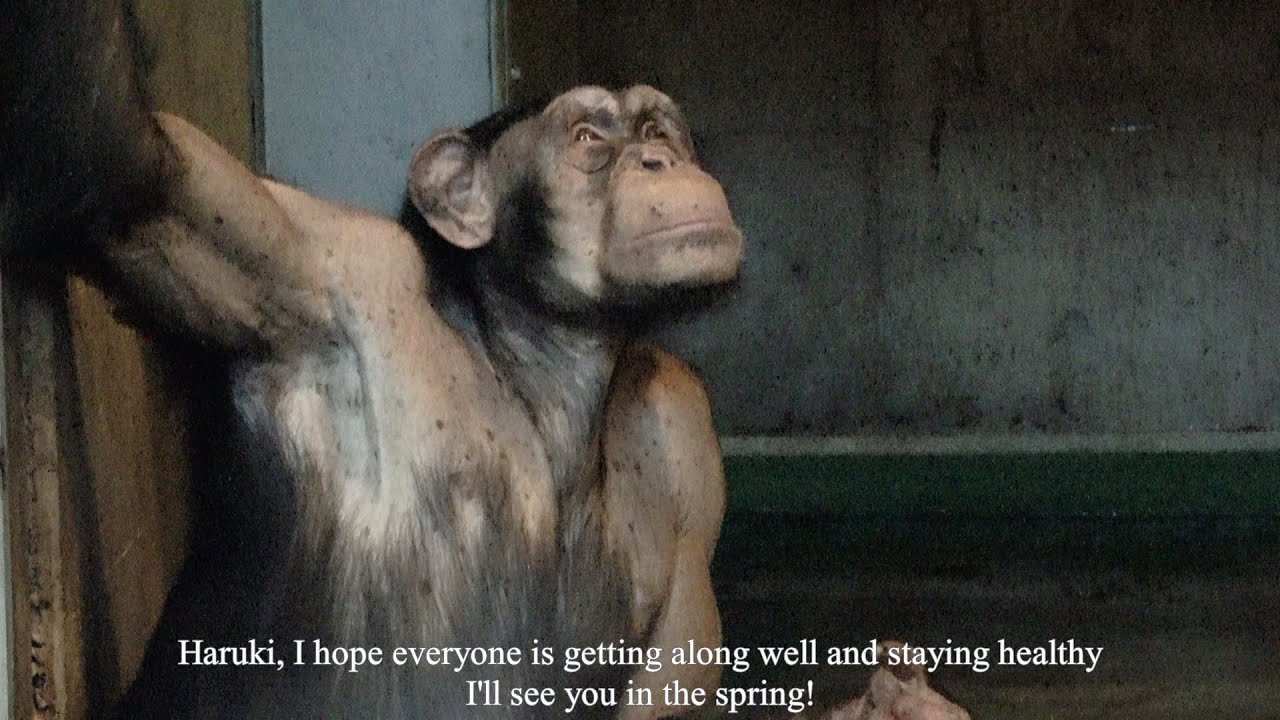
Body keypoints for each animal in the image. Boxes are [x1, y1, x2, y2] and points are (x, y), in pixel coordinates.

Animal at [2, 2, 743, 718]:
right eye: (590, 138)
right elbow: (114, 163)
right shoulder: (325, 261)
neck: (528, 356)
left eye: (657, 129)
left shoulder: (681, 423)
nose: (660, 162)